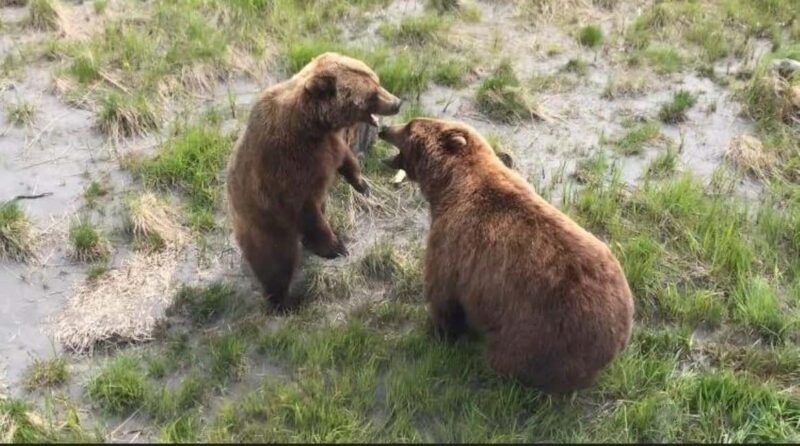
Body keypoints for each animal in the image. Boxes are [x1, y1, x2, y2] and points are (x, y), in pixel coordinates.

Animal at [227, 52, 402, 309]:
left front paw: (362, 184)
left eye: (376, 80)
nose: (397, 102)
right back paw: (282, 301)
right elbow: (305, 210)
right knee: (276, 263)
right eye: (371, 93)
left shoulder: (329, 145)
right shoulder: (286, 167)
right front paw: (336, 247)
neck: (312, 126)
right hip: (265, 227)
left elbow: (345, 160)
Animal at [378, 118, 634, 393]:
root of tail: (618, 339)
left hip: (538, 333)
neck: (448, 185)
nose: (384, 128)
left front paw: (438, 332)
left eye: (409, 127)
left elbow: (442, 293)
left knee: (509, 360)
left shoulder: (451, 242)